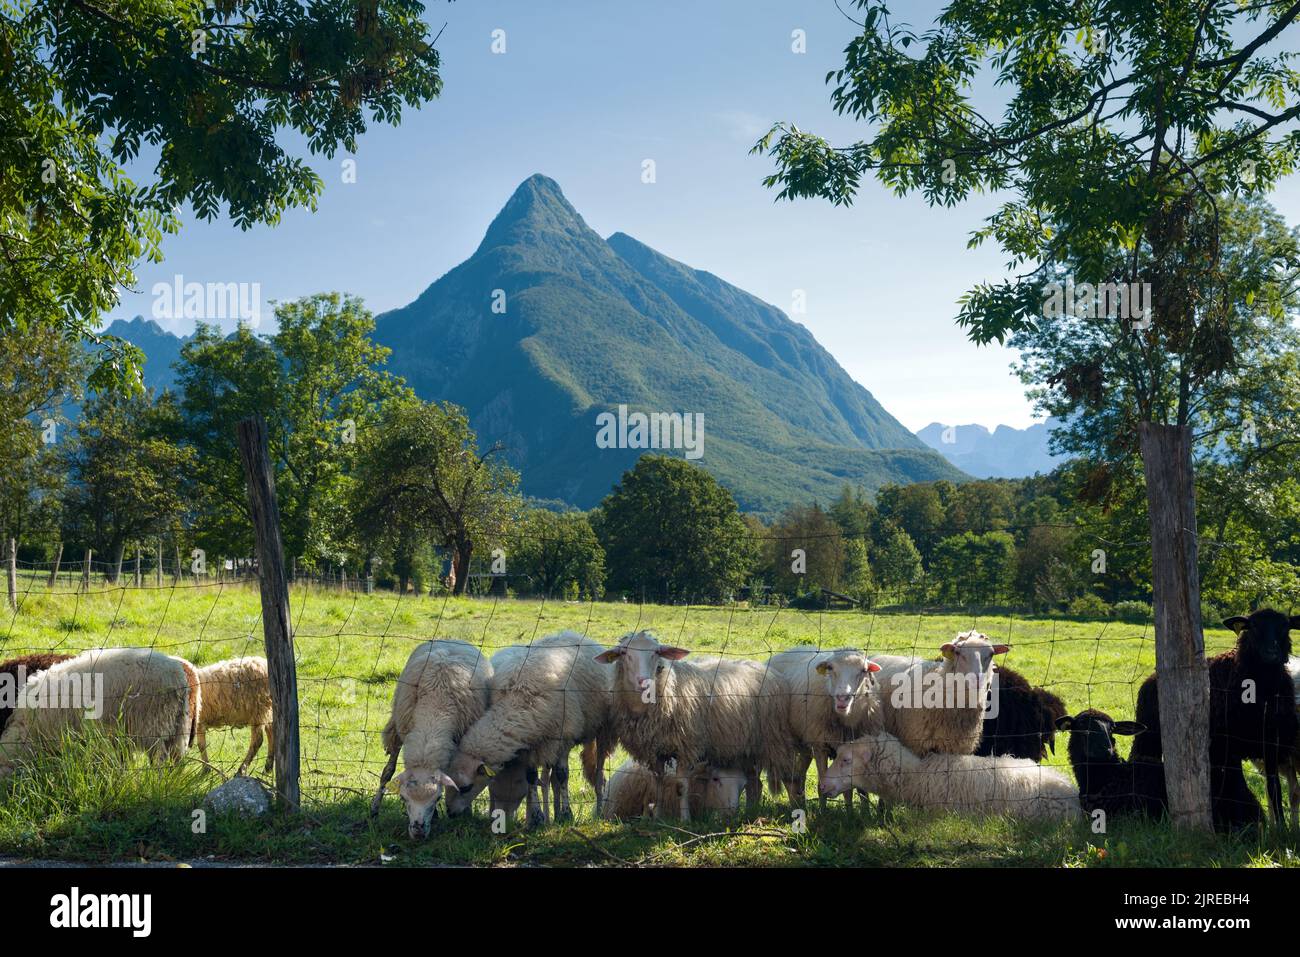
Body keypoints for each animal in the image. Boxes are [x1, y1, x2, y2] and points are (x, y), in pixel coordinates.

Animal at [372, 639, 492, 839]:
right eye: (403, 798)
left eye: (437, 798)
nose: (418, 831)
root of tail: (452, 638)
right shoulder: (402, 730)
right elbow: (387, 772)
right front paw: (374, 811)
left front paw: (463, 814)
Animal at [447, 631, 615, 826]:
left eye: (466, 787)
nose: (450, 813)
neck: (517, 701)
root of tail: (571, 633)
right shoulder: (530, 746)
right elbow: (532, 777)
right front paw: (537, 818)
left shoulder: (563, 739)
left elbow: (562, 775)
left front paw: (567, 814)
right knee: (549, 780)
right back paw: (553, 814)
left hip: (600, 730)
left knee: (598, 774)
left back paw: (597, 811)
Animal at [767, 645, 882, 807]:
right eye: (830, 667)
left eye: (864, 670)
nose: (842, 698)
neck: (845, 720)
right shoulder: (820, 745)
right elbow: (822, 787)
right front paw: (823, 811)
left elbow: (859, 790)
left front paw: (858, 812)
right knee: (788, 776)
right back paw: (795, 804)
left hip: (805, 744)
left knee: (799, 775)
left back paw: (801, 802)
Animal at [1131, 609, 1299, 829]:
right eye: (1253, 626)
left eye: (1285, 627)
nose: (1272, 653)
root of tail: (1151, 678)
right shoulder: (1229, 745)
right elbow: (1235, 783)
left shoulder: (1271, 744)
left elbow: (1274, 788)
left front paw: (1280, 827)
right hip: (1149, 736)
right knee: (1142, 762)